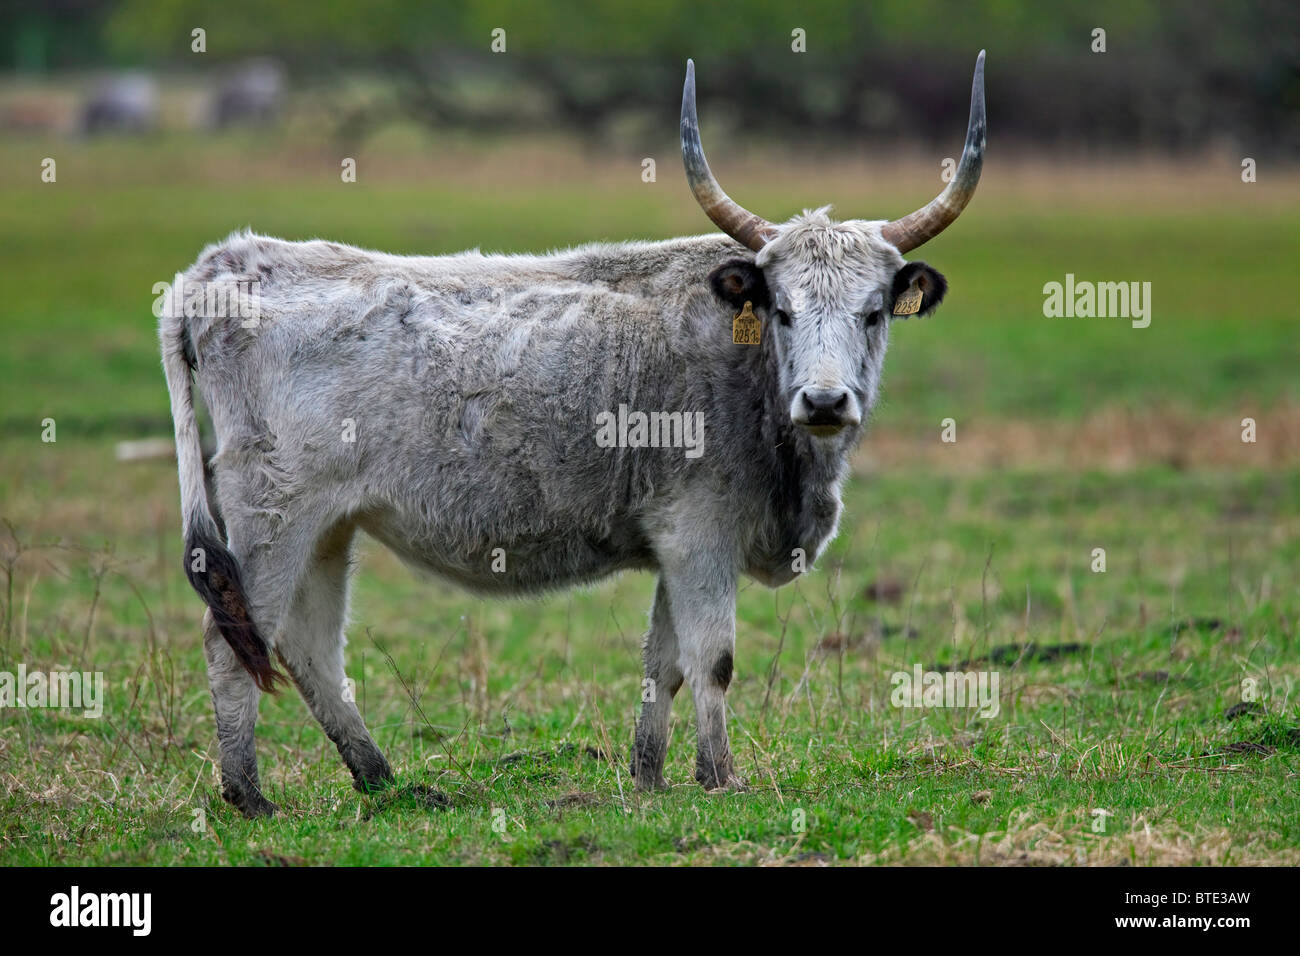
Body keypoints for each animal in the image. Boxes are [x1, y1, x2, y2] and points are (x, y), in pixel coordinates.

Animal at [162, 53, 985, 816]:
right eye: (781, 309)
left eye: (873, 312)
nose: (823, 399)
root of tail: (222, 267)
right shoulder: (701, 536)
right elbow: (711, 658)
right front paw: (721, 778)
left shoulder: (674, 544)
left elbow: (663, 664)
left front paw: (648, 777)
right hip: (272, 517)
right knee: (232, 642)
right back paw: (250, 796)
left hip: (329, 529)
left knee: (310, 651)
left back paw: (386, 782)